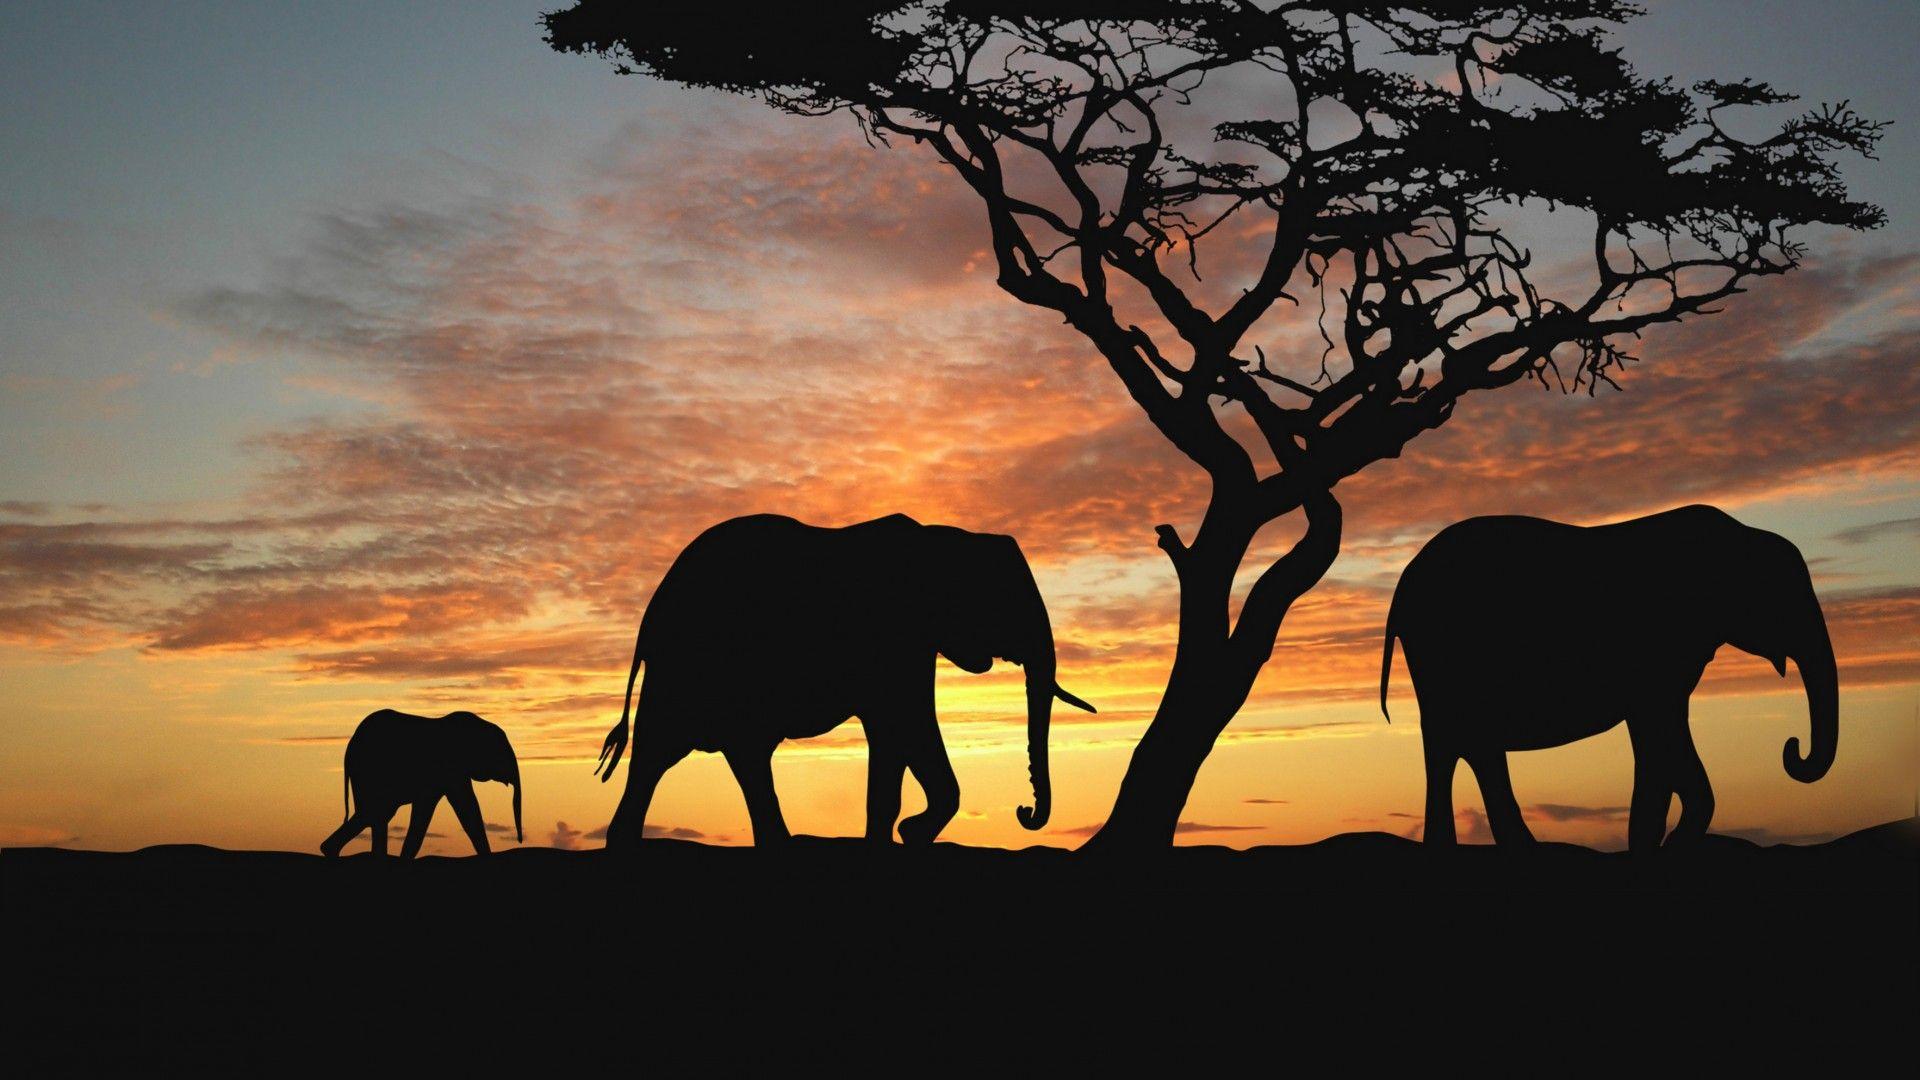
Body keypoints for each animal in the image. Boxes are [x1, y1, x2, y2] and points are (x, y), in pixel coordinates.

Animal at [319, 710, 523, 858]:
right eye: (502, 752)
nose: (520, 840)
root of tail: (349, 746)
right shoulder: (451, 769)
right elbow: (466, 808)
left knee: (376, 815)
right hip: (369, 773)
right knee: (374, 813)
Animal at [594, 513, 1096, 848]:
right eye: (1007, 601)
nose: (1024, 811)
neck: (944, 537)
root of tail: (649, 616)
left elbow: (894, 736)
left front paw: (899, 837)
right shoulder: (898, 639)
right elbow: (907, 722)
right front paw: (909, 833)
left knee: (724, 754)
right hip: (689, 666)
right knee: (669, 750)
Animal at [1379, 505, 1838, 852]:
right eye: (1785, 597)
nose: (1792, 748)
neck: (1739, 534)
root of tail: (1402, 586)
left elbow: (1662, 737)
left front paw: (1660, 842)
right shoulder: (1660, 651)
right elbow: (1660, 732)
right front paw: (1660, 844)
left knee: (1467, 746)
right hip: (1444, 656)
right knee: (1457, 744)